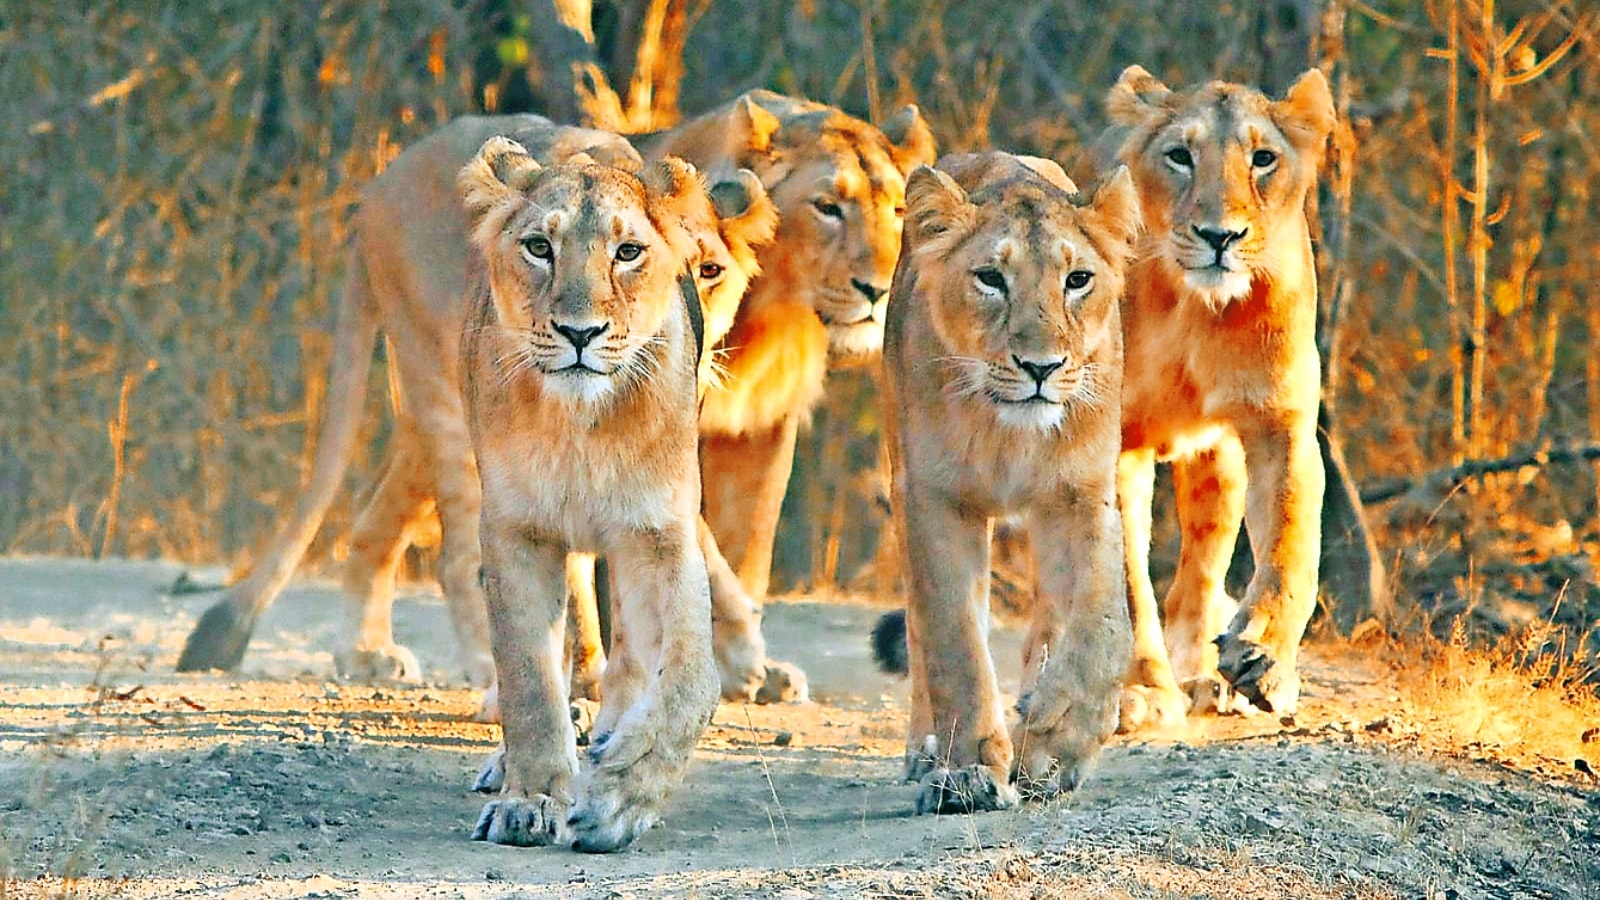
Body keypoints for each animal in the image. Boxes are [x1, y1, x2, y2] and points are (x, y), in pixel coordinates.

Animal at [176, 114, 776, 704]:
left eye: (710, 270)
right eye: (539, 249)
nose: (583, 333)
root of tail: (376, 190)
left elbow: (679, 544)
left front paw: (735, 658)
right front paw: (586, 681)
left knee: (375, 519)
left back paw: (366, 652)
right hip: (446, 404)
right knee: (460, 558)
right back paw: (490, 674)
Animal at [458, 138, 719, 853]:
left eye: (627, 252)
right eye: (538, 247)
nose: (580, 333)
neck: (582, 426)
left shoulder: (662, 534)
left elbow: (692, 682)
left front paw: (619, 797)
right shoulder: (515, 530)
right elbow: (527, 676)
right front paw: (532, 800)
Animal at [884, 151, 1139, 814]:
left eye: (1077, 279)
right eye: (990, 279)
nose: (1041, 367)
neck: (1009, 436)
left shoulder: (1082, 493)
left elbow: (1105, 625)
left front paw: (1056, 737)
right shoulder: (932, 497)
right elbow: (953, 641)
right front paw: (967, 773)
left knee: (1051, 622)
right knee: (922, 634)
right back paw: (925, 756)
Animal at [1105, 67, 1336, 730]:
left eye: (1263, 159)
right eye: (1180, 156)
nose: (1220, 236)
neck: (1195, 309)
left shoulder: (1279, 426)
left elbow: (1290, 546)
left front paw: (1262, 658)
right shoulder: (1112, 444)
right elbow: (1125, 582)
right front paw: (1140, 690)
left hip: (1218, 463)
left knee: (1197, 579)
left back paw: (1207, 680)